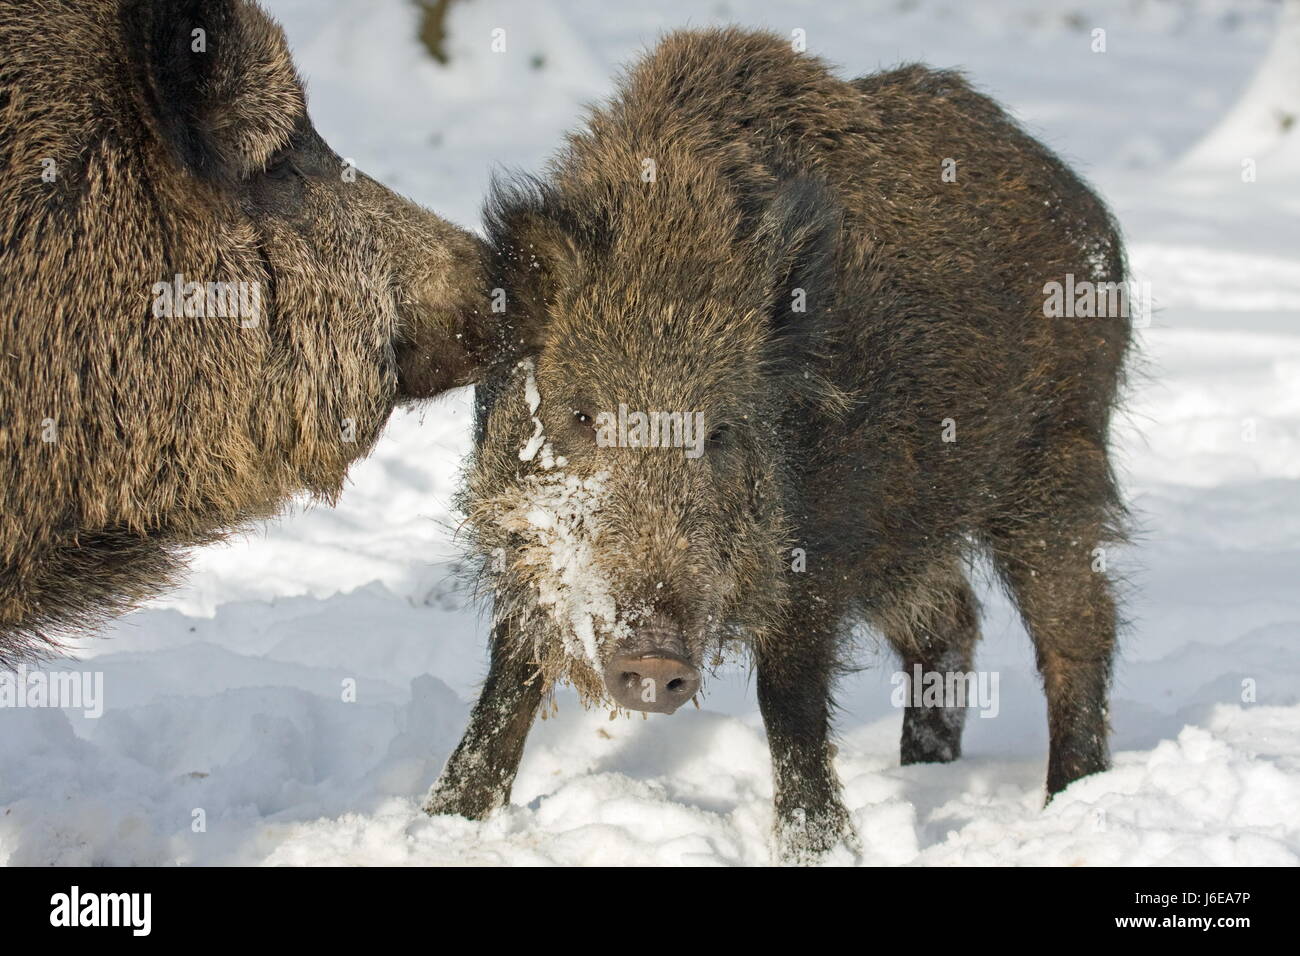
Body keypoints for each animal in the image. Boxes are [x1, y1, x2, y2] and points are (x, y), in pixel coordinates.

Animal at [427, 27, 1131, 861]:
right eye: (581, 416)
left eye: (721, 430)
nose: (653, 660)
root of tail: (1083, 207)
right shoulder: (527, 538)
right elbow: (509, 677)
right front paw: (444, 821)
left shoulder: (816, 551)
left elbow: (788, 698)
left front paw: (819, 849)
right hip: (915, 524)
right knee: (951, 619)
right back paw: (925, 772)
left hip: (1057, 455)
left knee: (1077, 628)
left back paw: (1071, 801)